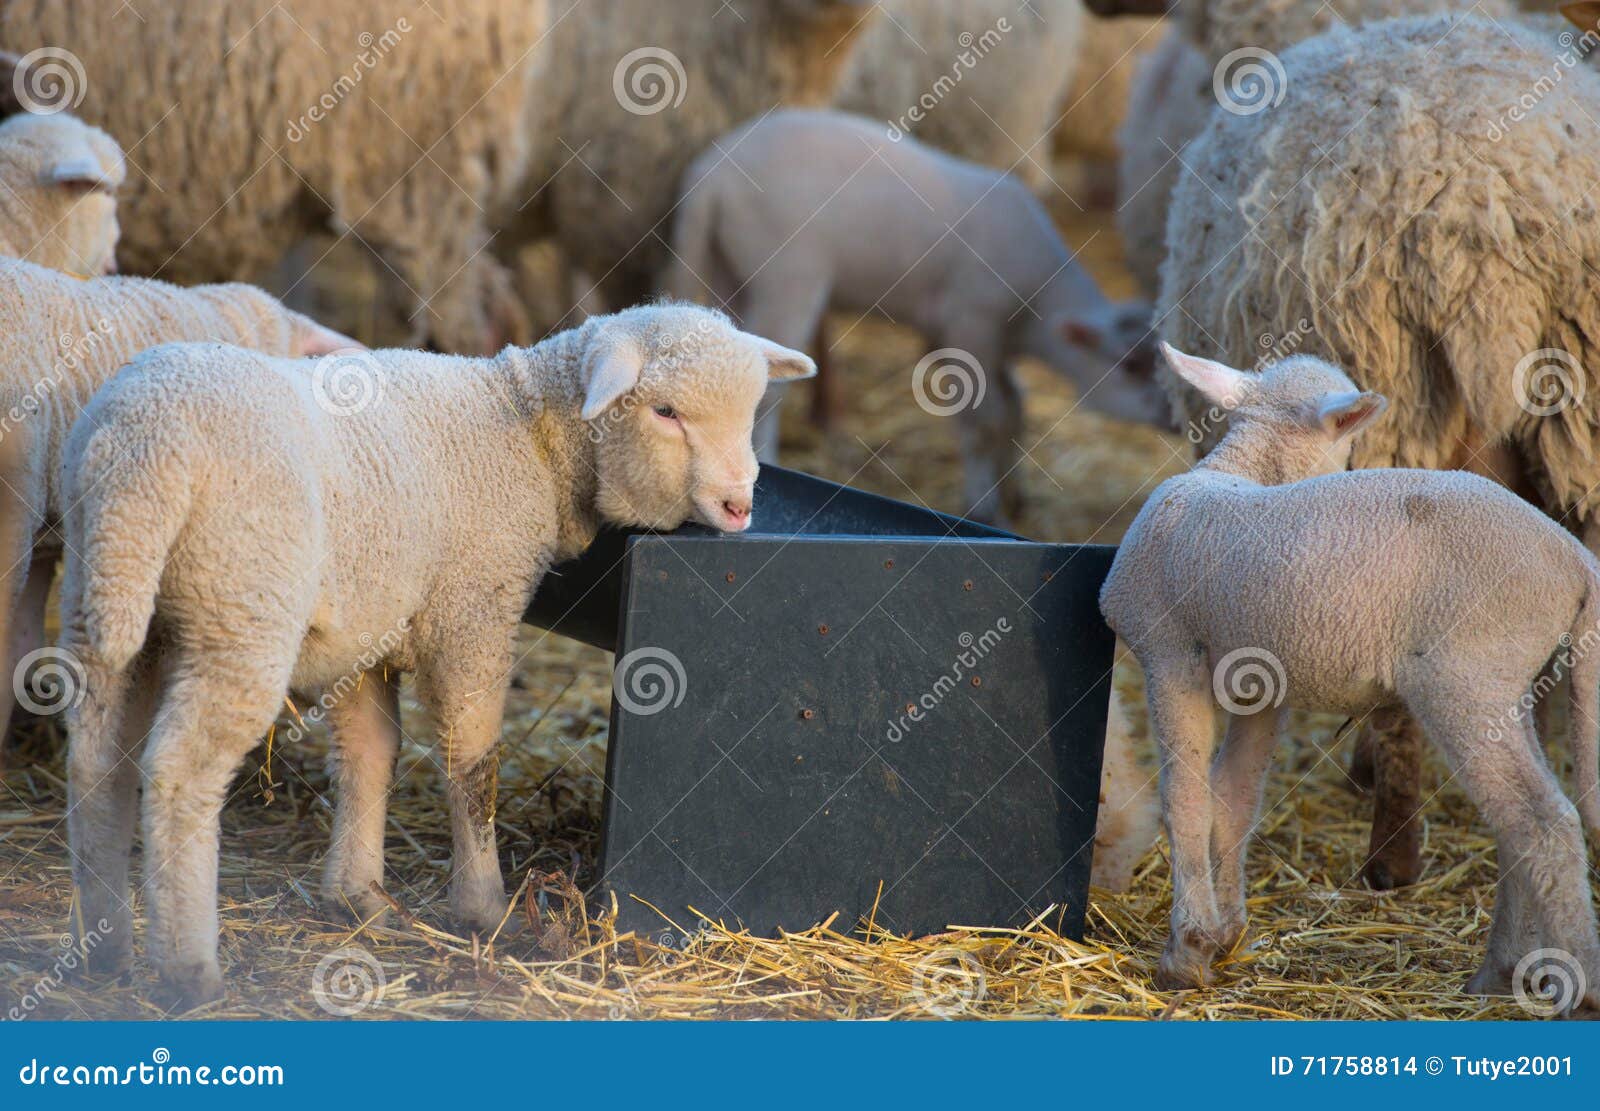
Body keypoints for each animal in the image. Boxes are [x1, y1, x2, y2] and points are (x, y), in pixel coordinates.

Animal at [59, 303, 814, 1006]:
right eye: (665, 411)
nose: (739, 506)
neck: (533, 430)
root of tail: (136, 445)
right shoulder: (473, 610)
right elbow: (474, 763)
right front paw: (483, 907)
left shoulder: (370, 632)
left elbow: (370, 754)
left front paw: (359, 897)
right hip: (241, 601)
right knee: (180, 771)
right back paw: (188, 970)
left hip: (104, 594)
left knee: (97, 758)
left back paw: (104, 945)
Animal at [666, 109, 1168, 523]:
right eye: (1132, 366)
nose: (1172, 417)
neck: (1035, 311)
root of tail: (712, 175)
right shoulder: (971, 324)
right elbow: (984, 420)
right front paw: (984, 507)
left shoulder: (968, 337)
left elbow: (1015, 408)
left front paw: (1014, 495)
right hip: (788, 276)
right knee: (769, 390)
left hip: (727, 269)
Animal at [1100, 344, 1600, 1011]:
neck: (1244, 471)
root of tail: (1576, 560)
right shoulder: (1263, 687)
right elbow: (1232, 797)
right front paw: (1227, 932)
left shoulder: (1168, 654)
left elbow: (1184, 799)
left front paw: (1187, 951)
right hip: (1509, 683)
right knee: (1517, 823)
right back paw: (1497, 972)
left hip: (1465, 675)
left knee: (1543, 822)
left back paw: (1576, 985)